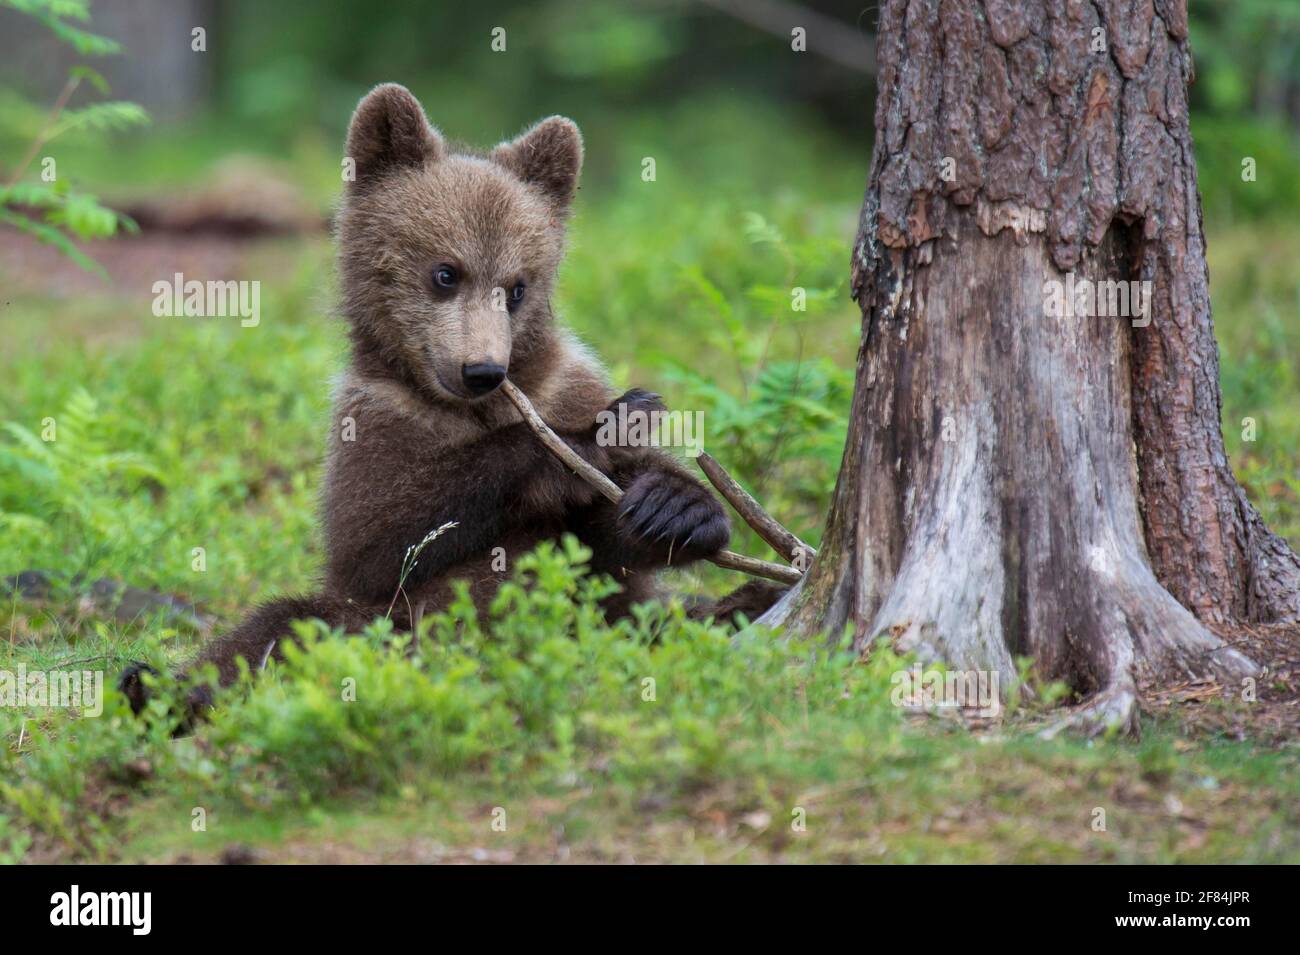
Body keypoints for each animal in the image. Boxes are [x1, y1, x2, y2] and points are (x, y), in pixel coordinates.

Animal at [121, 84, 784, 717]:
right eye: (446, 272)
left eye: (517, 287)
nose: (483, 370)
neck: (466, 408)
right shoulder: (372, 422)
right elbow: (382, 539)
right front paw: (587, 437)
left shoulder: (564, 382)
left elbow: (607, 542)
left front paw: (677, 503)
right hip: (390, 627)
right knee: (287, 626)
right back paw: (156, 687)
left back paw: (745, 600)